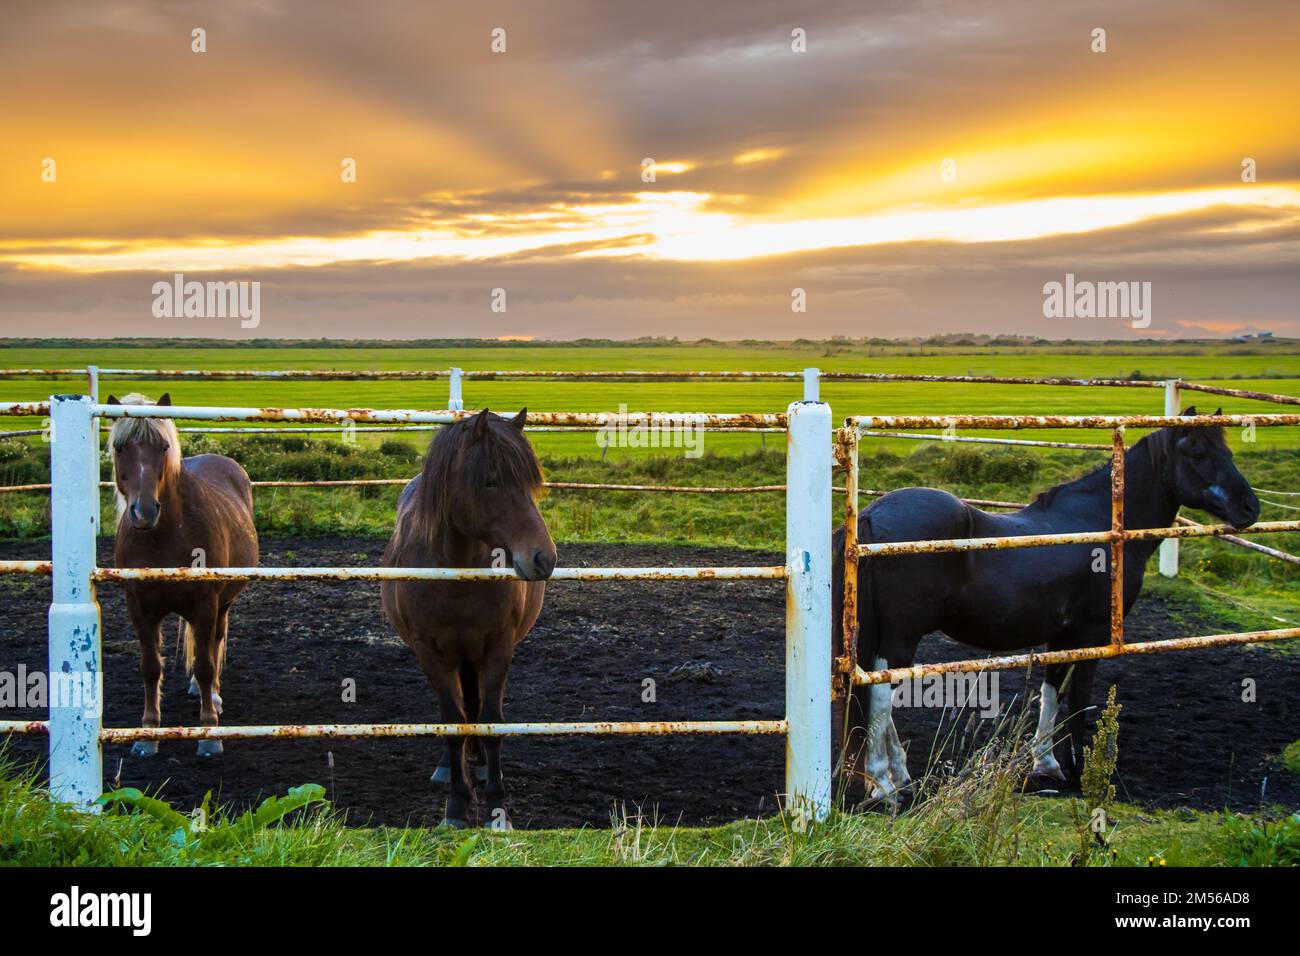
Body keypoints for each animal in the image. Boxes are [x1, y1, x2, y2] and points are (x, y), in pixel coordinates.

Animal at [108, 392, 259, 758]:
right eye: (120, 447)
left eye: (163, 446)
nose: (144, 511)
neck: (162, 536)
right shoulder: (139, 609)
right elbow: (150, 668)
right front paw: (148, 734)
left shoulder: (205, 604)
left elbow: (205, 666)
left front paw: (208, 733)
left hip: (222, 604)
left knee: (215, 643)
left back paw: (214, 697)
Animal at [380, 408, 557, 829]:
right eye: (491, 481)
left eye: (531, 482)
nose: (543, 557)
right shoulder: (430, 653)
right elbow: (451, 721)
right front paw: (457, 806)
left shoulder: (498, 648)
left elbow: (491, 720)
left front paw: (496, 806)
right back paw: (451, 767)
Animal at [832, 408, 1260, 802]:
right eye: (1199, 454)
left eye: (1227, 452)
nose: (1250, 508)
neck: (1100, 524)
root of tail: (870, 517)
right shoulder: (1092, 634)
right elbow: (1078, 701)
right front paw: (1080, 773)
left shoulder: (1061, 636)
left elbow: (1051, 693)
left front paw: (1046, 764)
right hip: (901, 637)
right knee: (880, 696)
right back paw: (885, 785)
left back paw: (899, 777)